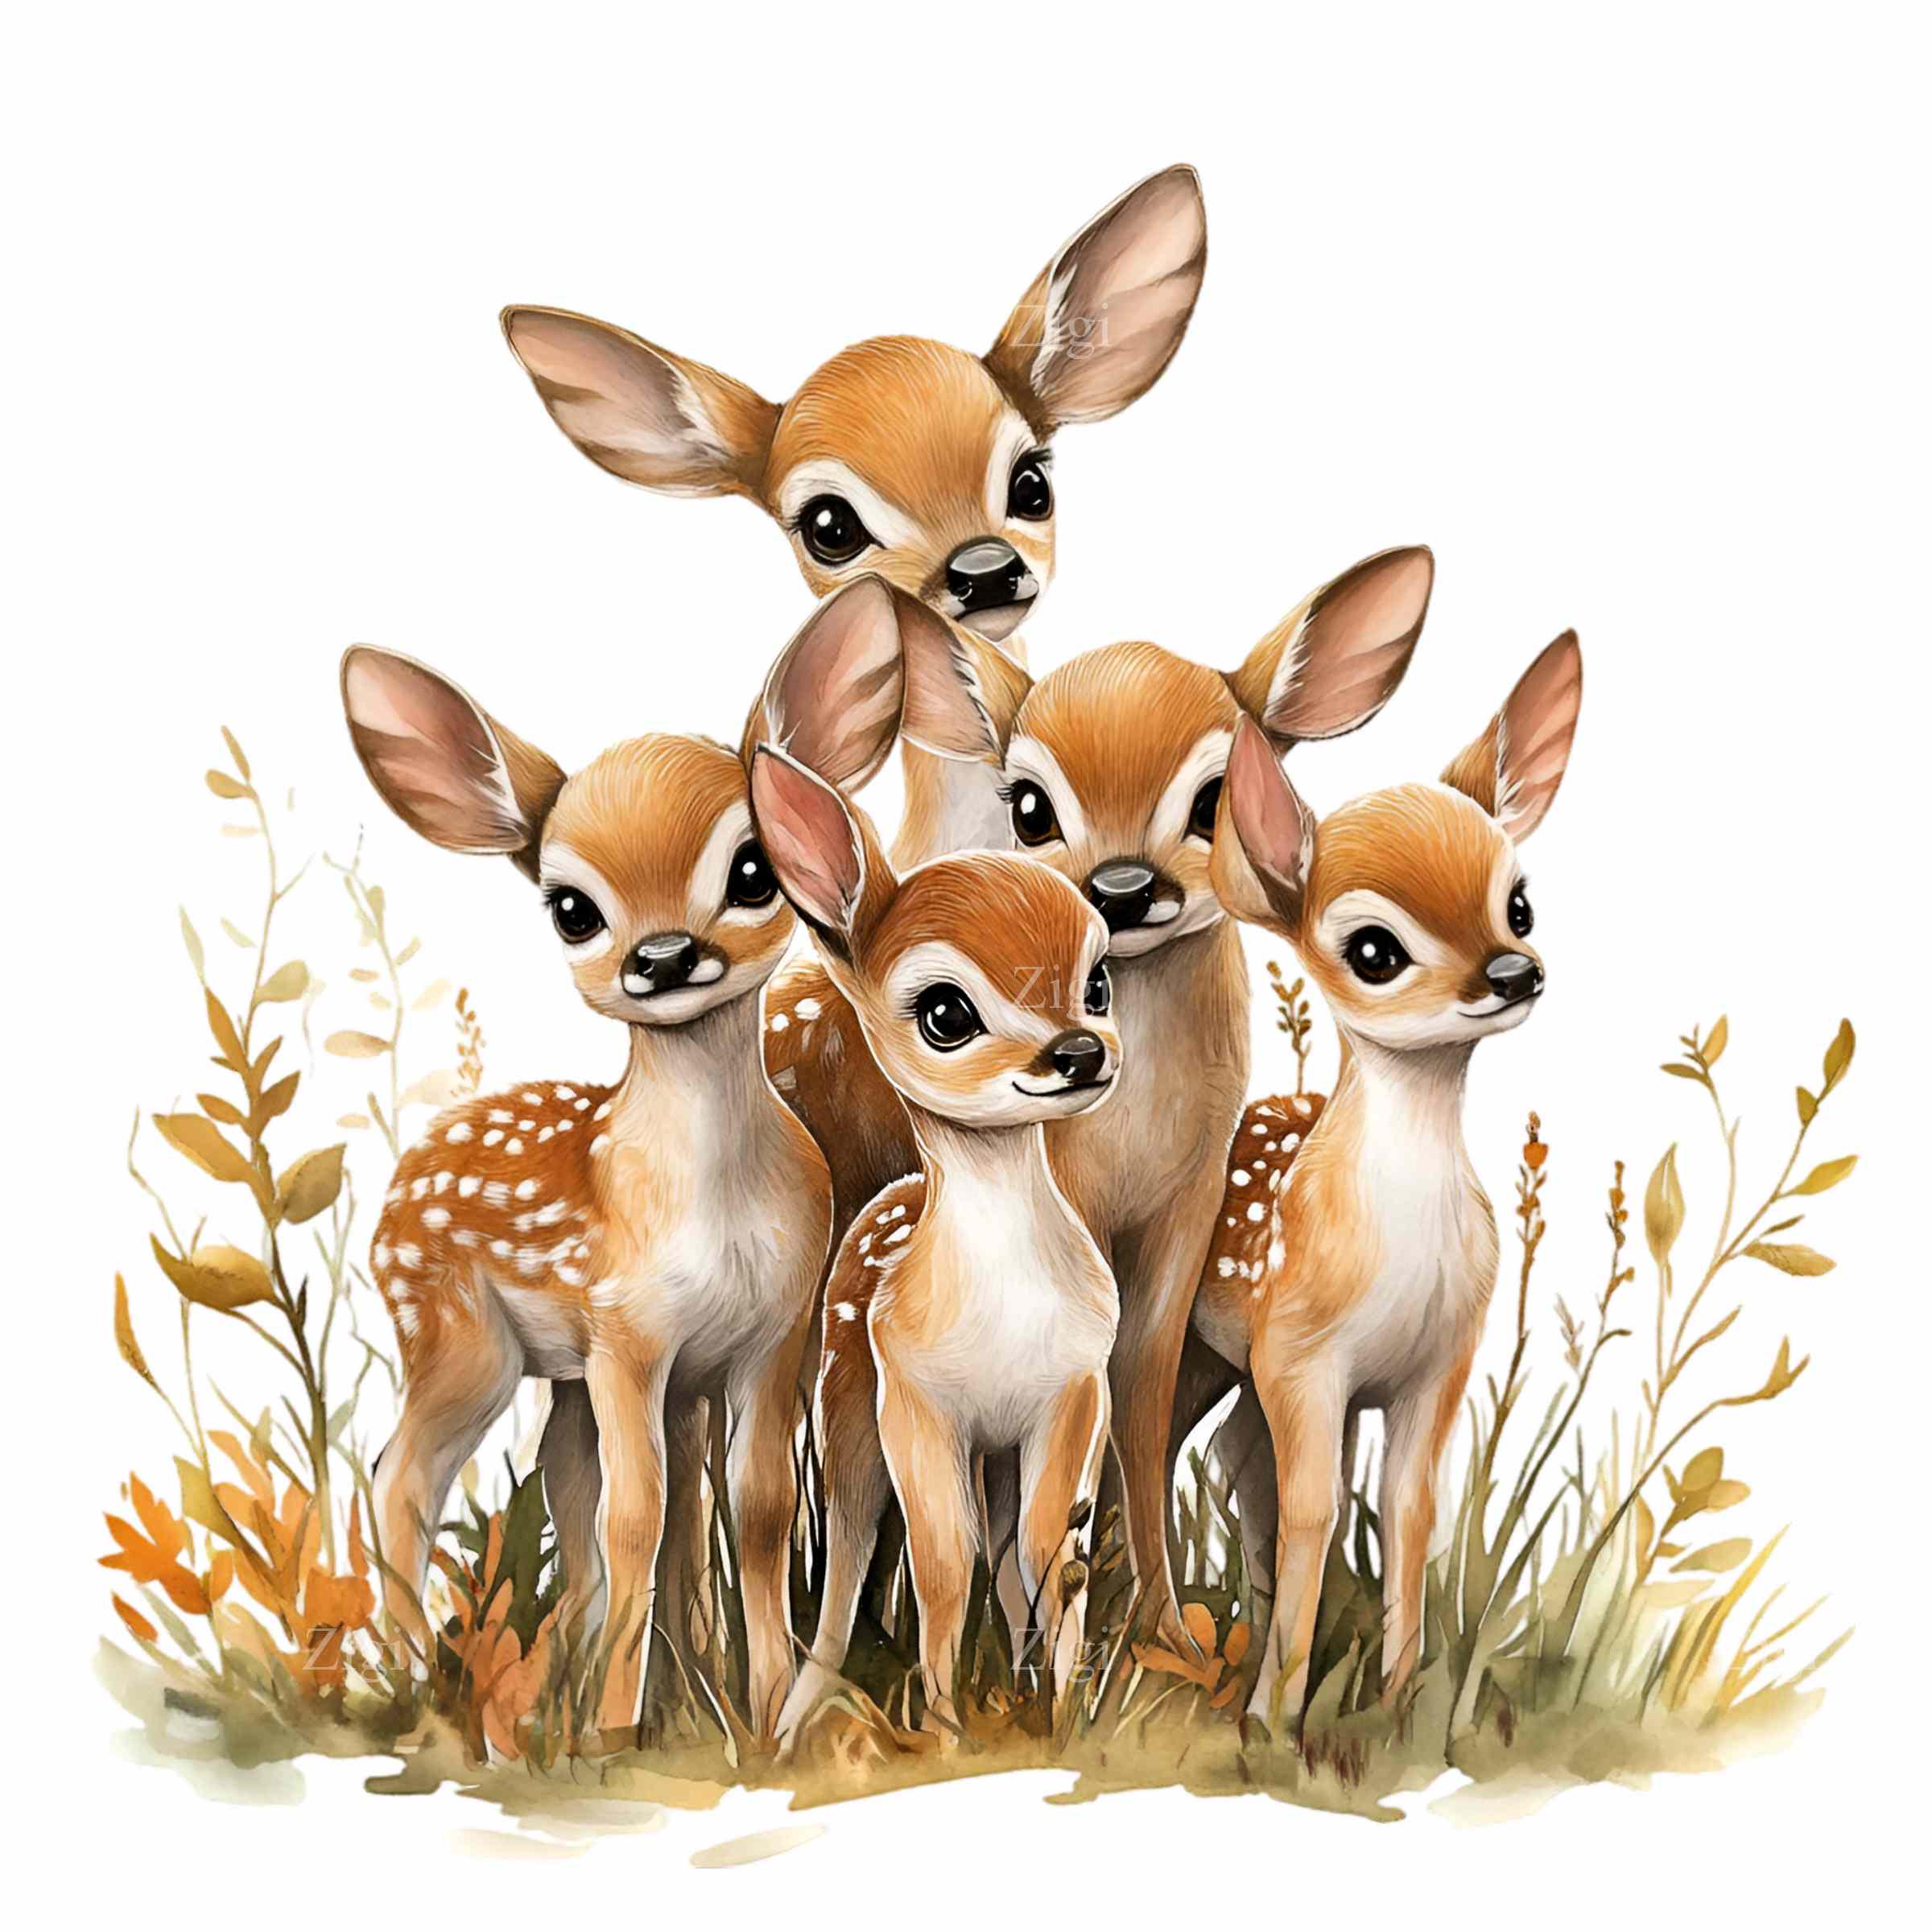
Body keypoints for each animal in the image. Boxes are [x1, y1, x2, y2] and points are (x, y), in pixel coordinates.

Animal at [341, 575, 946, 1741]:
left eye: (753, 870)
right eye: (571, 907)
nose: (663, 956)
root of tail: (397, 1184)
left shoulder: (768, 1332)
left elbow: (748, 1512)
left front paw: (756, 1712)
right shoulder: (629, 1334)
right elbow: (641, 1517)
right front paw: (626, 1731)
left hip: (556, 1375)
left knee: (549, 1482)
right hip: (458, 1335)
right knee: (402, 1475)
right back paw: (417, 1688)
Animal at [743, 747, 1122, 1745]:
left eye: (1098, 983)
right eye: (946, 1012)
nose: (1081, 1051)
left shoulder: (1076, 1389)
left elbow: (1047, 1556)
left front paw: (1061, 1716)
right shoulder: (915, 1399)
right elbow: (941, 1567)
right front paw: (947, 1733)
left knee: (1008, 1558)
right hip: (845, 1400)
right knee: (847, 1556)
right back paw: (797, 1715)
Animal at [769, 546, 1437, 1653]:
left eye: (1215, 799)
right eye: (1031, 808)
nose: (1122, 888)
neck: (1135, 1137)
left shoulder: (1188, 1205)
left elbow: (1140, 1395)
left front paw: (1159, 1630)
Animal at [1194, 634, 1584, 1724]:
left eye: (1519, 903)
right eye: (1373, 948)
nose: (1513, 973)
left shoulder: (1443, 1356)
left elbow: (1411, 1509)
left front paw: (1402, 1700)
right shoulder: (1299, 1352)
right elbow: (1316, 1506)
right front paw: (1275, 1719)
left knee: (1233, 1457)